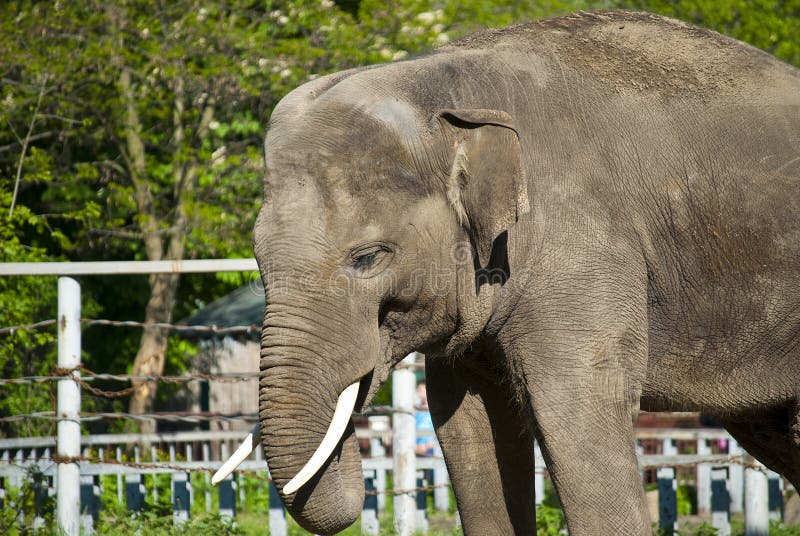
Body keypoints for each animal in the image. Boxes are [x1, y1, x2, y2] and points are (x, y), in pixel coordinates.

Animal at [213, 10, 800, 535]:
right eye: (259, 260)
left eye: (368, 258)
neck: (452, 92)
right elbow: (465, 421)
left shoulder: (582, 246)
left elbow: (576, 410)